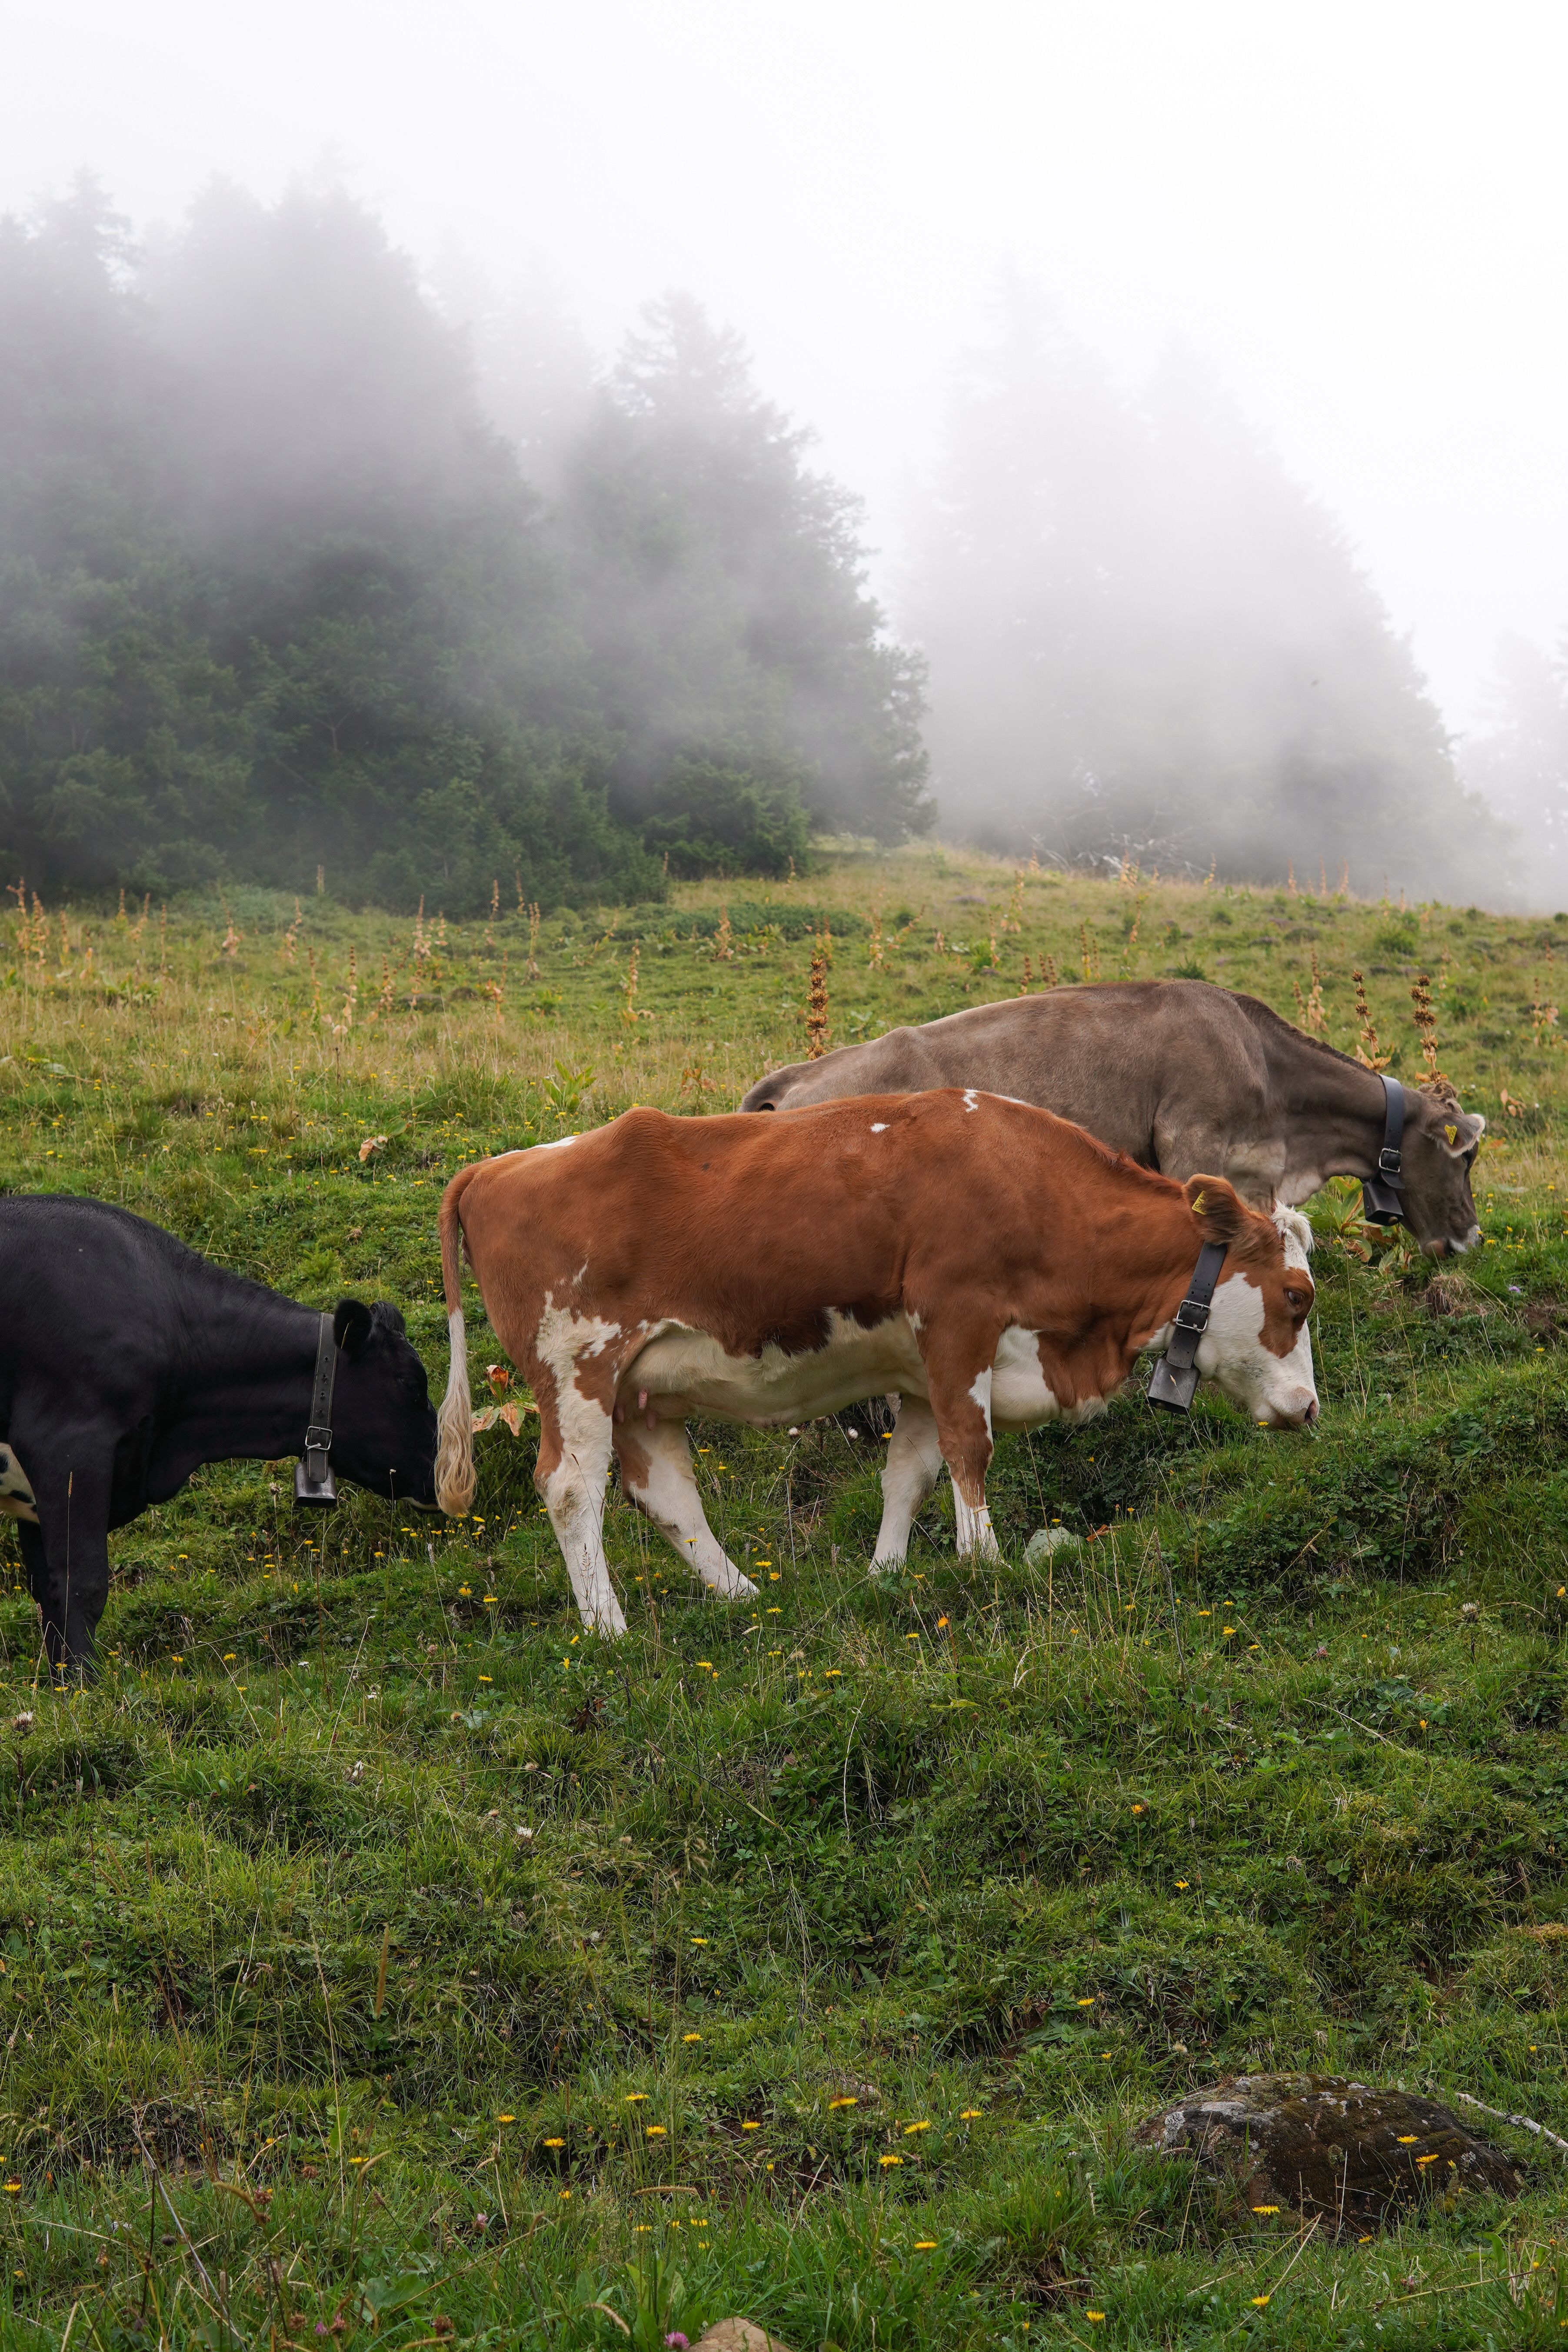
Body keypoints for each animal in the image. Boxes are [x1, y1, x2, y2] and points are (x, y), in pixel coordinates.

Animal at [0, 1196, 439, 1672]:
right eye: (411, 1383)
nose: (447, 1471)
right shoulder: (69, 1448)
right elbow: (82, 1584)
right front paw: (88, 1685)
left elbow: (49, 1597)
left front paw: (64, 1684)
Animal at [433, 1091, 1318, 1636]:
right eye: (1298, 1296)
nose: (1309, 1409)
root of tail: (495, 1165)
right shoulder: (957, 1322)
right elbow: (970, 1449)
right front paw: (985, 1561)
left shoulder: (923, 1369)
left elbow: (911, 1472)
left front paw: (886, 1574)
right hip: (576, 1366)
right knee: (571, 1487)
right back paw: (608, 1627)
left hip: (639, 1393)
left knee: (668, 1497)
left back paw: (742, 1595)